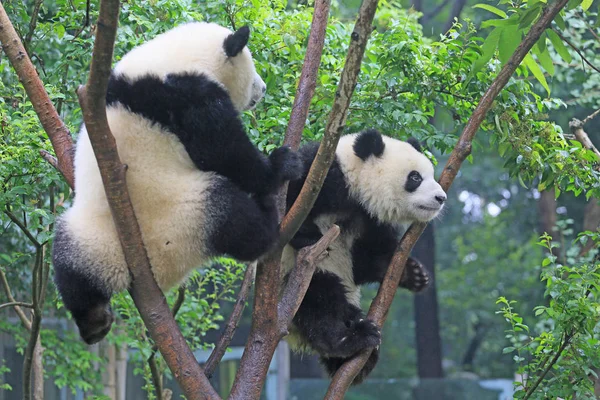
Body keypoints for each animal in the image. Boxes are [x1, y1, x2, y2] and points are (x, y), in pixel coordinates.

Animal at [54, 21, 302, 346]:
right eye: (252, 67)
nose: (261, 89)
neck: (177, 58)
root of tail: (154, 270)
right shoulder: (188, 96)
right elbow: (222, 150)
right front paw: (281, 166)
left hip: (90, 236)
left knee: (70, 267)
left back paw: (93, 321)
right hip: (189, 213)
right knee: (234, 215)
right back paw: (268, 221)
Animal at [284, 130, 448, 382]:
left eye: (430, 174)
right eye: (415, 178)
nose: (441, 198)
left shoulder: (369, 218)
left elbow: (366, 263)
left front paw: (414, 274)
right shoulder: (322, 175)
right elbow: (287, 200)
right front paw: (309, 236)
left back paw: (358, 361)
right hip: (296, 279)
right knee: (321, 300)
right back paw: (349, 340)